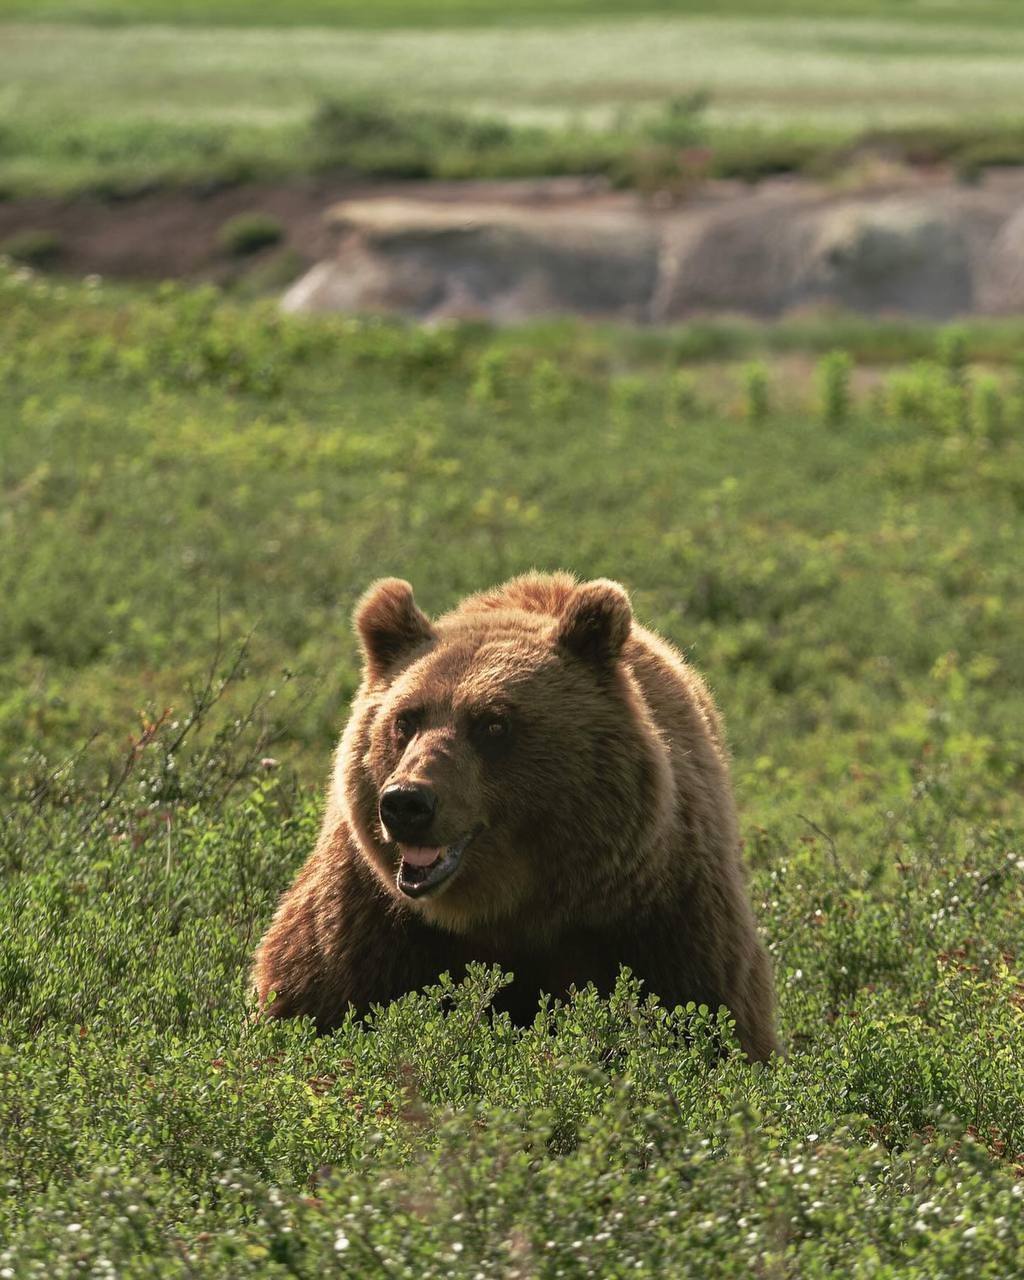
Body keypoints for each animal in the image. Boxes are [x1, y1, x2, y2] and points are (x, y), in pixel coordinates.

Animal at [252, 570, 778, 1059]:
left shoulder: (661, 916)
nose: (406, 802)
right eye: (405, 719)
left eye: (492, 724)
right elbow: (315, 998)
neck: (510, 908)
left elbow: (708, 1019)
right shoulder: (368, 921)